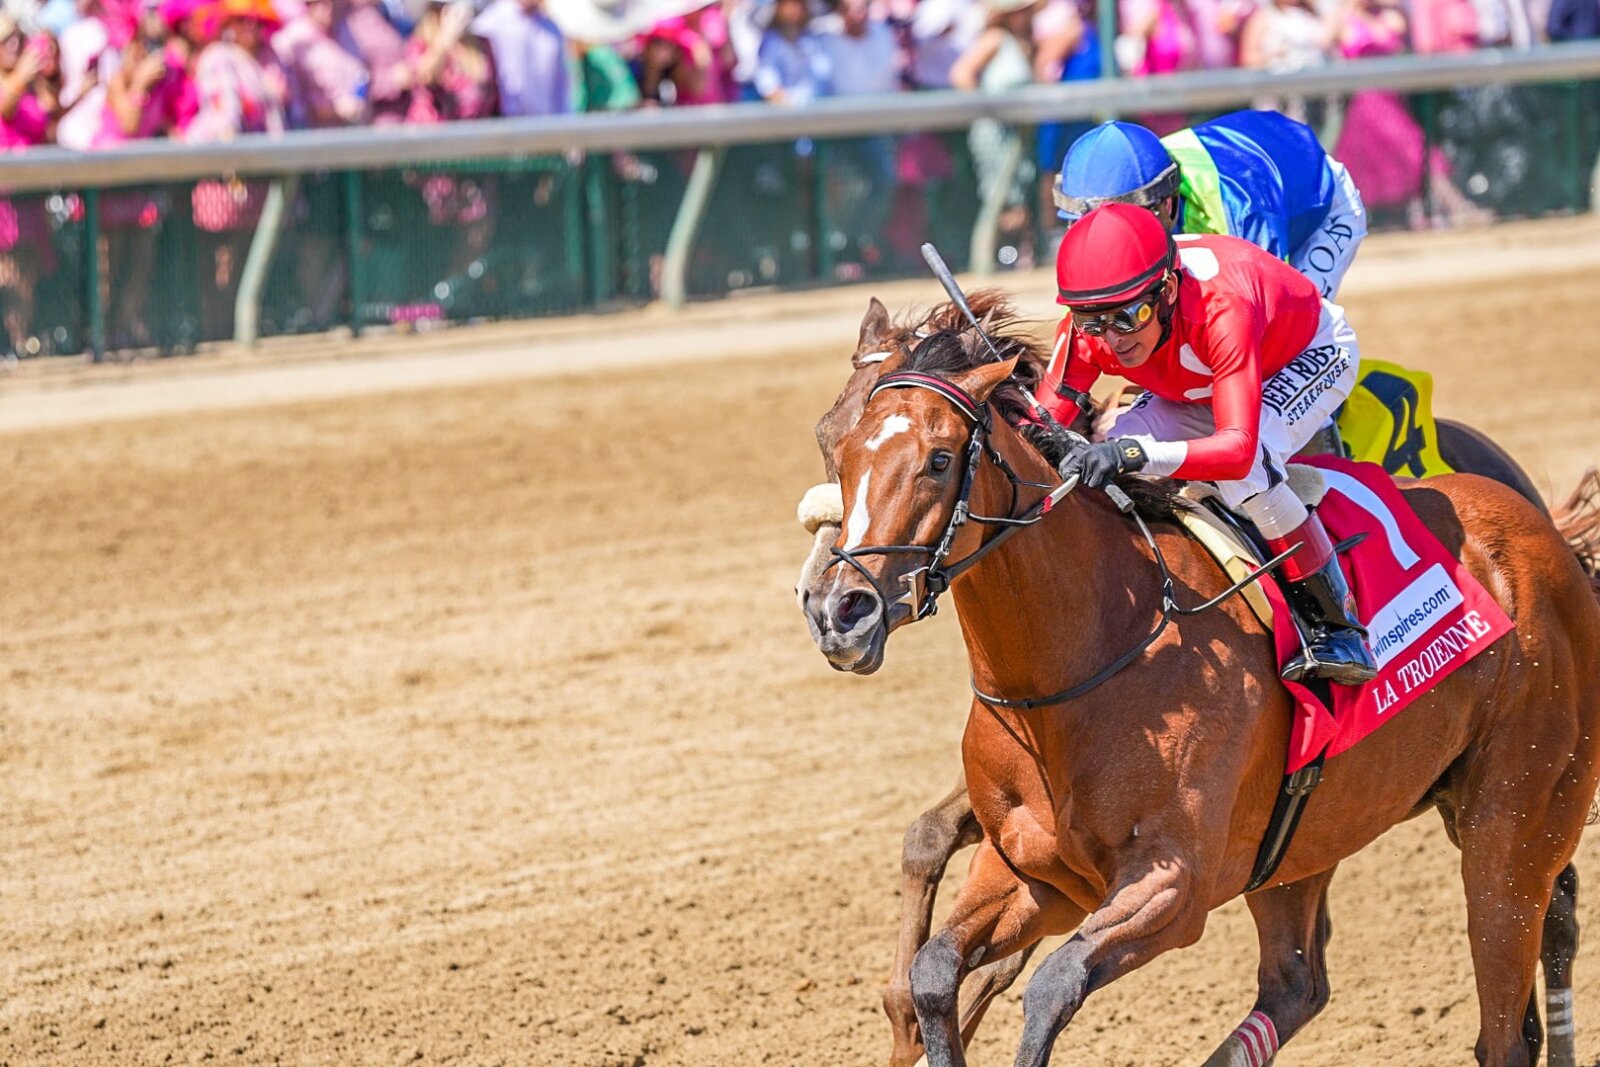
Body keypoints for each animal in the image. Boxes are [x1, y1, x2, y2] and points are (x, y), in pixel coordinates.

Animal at [794, 292, 1594, 1067]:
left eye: (937, 459)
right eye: (836, 442)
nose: (839, 607)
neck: (1086, 658)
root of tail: (1547, 537)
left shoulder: (1173, 885)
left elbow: (1052, 983)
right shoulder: (1037, 872)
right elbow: (934, 968)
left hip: (1511, 831)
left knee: (1508, 1015)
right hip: (1306, 838)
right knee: (1297, 982)